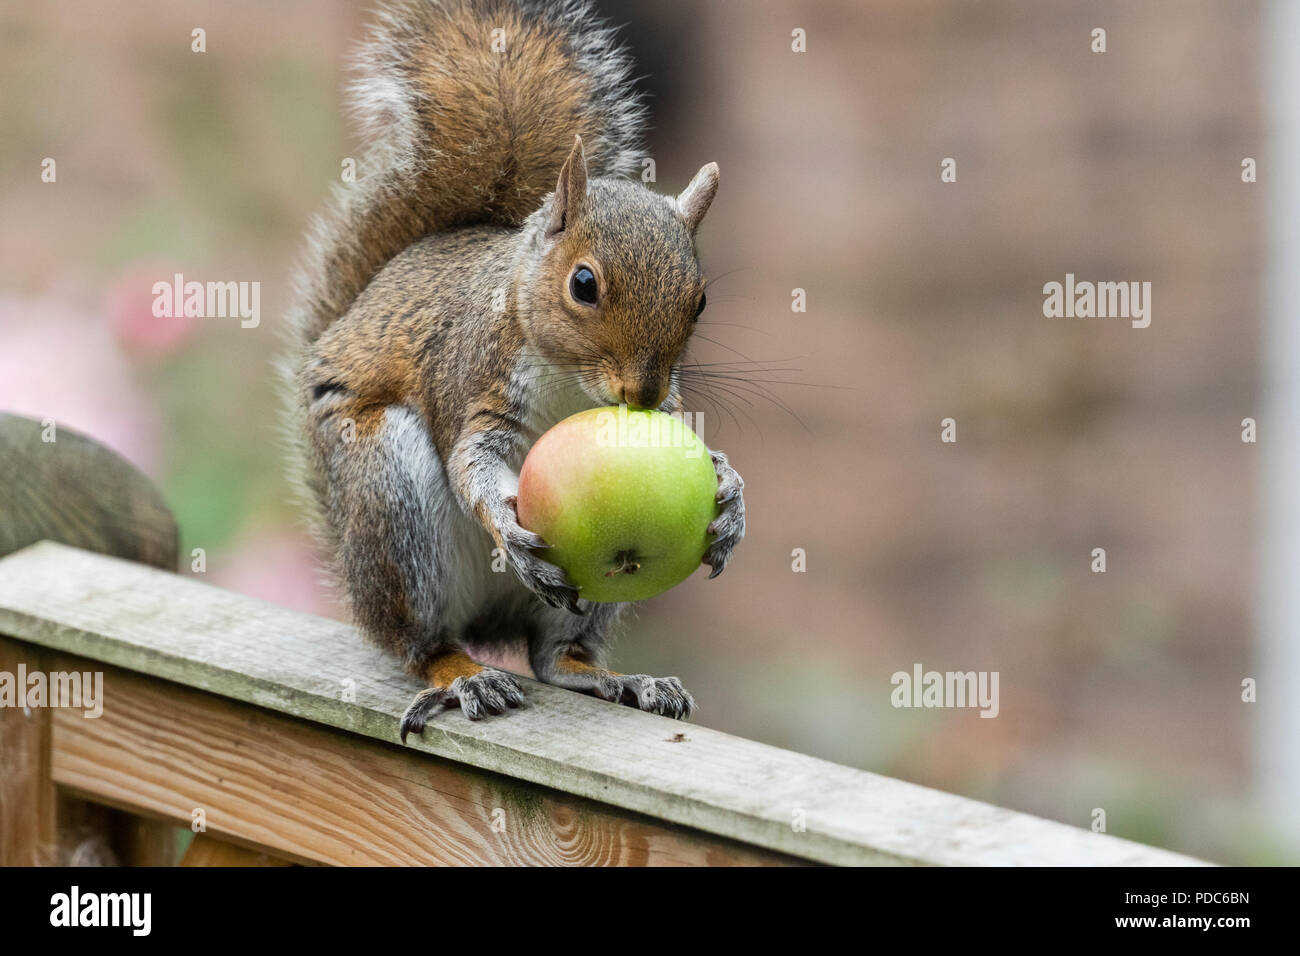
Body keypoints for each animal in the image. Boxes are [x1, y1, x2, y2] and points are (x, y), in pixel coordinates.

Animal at [285, 0, 746, 741]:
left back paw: (616, 678)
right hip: (387, 493)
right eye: (584, 284)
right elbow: (471, 462)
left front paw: (730, 496)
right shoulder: (474, 377)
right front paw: (506, 520)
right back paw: (461, 675)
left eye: (700, 299)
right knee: (419, 641)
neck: (571, 382)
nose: (642, 393)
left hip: (583, 602)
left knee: (553, 657)